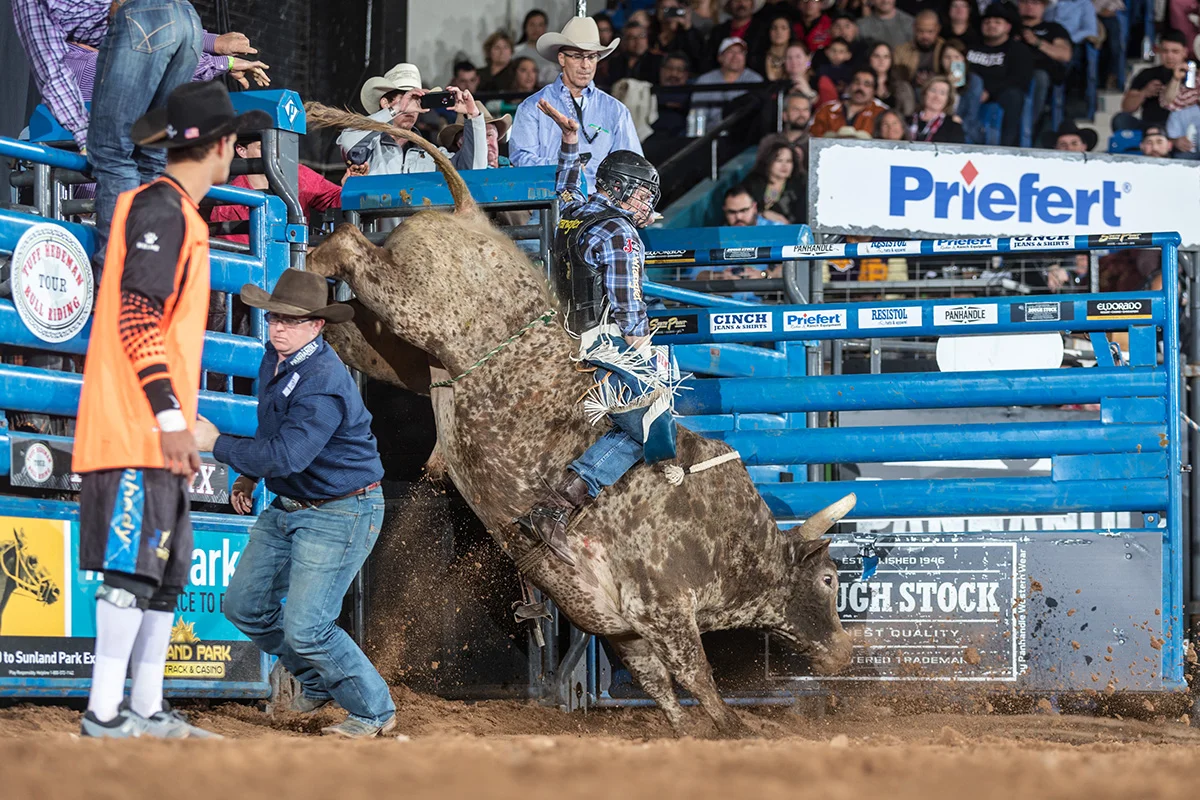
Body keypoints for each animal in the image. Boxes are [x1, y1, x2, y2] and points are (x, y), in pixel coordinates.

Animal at [304, 104, 855, 736]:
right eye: (830, 580)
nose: (846, 653)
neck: (729, 534)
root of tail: (469, 214)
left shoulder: (620, 624)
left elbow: (658, 685)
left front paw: (683, 730)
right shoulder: (663, 605)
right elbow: (696, 676)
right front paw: (732, 727)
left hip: (395, 352)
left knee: (347, 323)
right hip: (415, 306)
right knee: (353, 248)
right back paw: (310, 257)